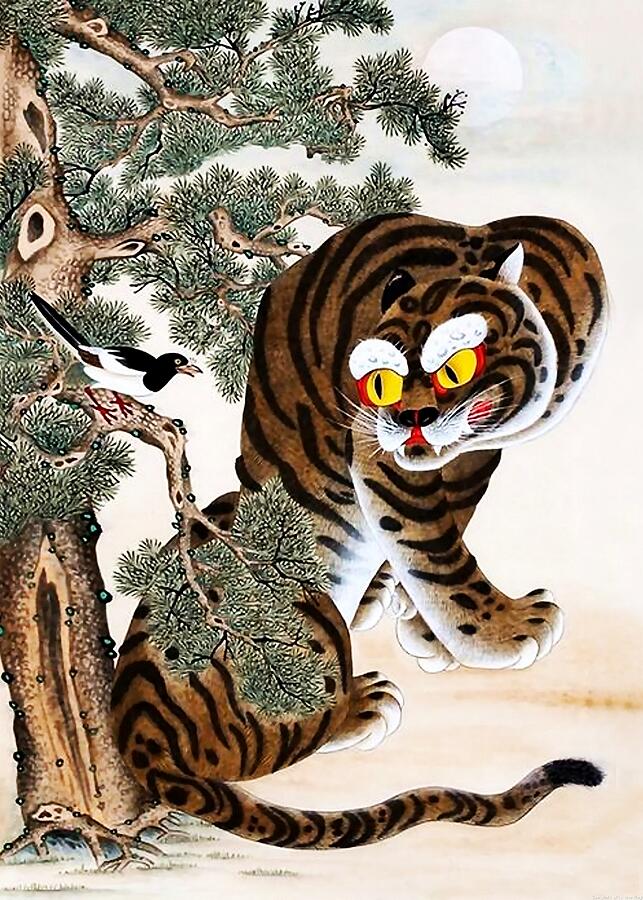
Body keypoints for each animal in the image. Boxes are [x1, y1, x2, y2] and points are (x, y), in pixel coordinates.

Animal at [113, 211, 607, 847]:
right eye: (380, 383)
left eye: (456, 368)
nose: (407, 418)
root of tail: (135, 720)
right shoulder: (385, 458)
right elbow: (434, 550)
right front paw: (506, 630)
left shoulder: (469, 457)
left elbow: (439, 535)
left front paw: (428, 629)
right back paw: (365, 702)